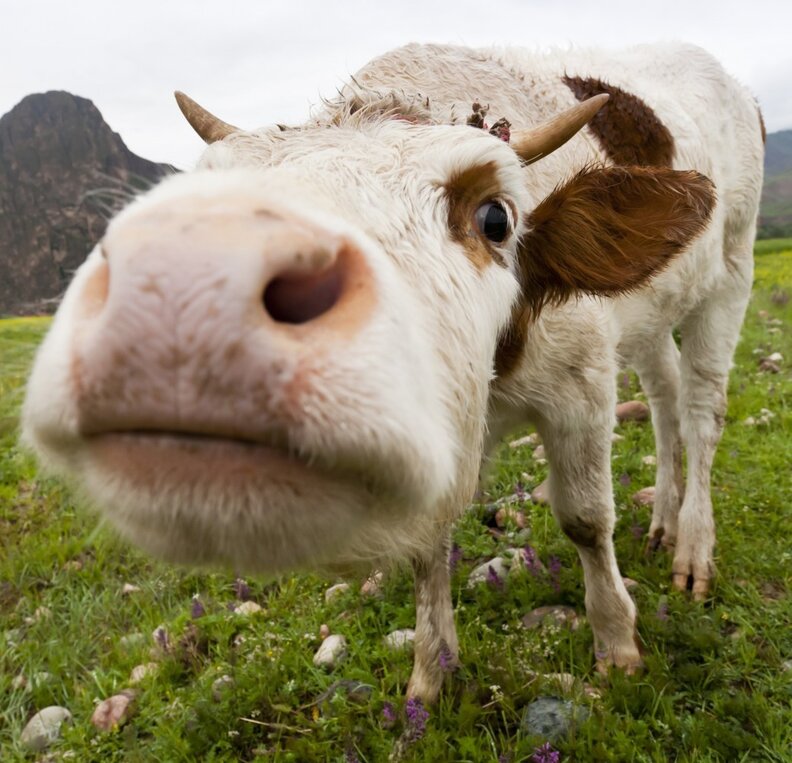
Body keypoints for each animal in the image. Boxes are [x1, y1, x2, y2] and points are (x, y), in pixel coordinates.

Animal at [23, 42, 763, 703]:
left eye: (495, 218)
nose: (192, 293)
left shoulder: (580, 385)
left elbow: (584, 518)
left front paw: (616, 644)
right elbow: (428, 544)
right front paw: (430, 677)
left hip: (731, 272)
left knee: (700, 410)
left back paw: (692, 549)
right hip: (653, 315)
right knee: (663, 394)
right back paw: (663, 520)